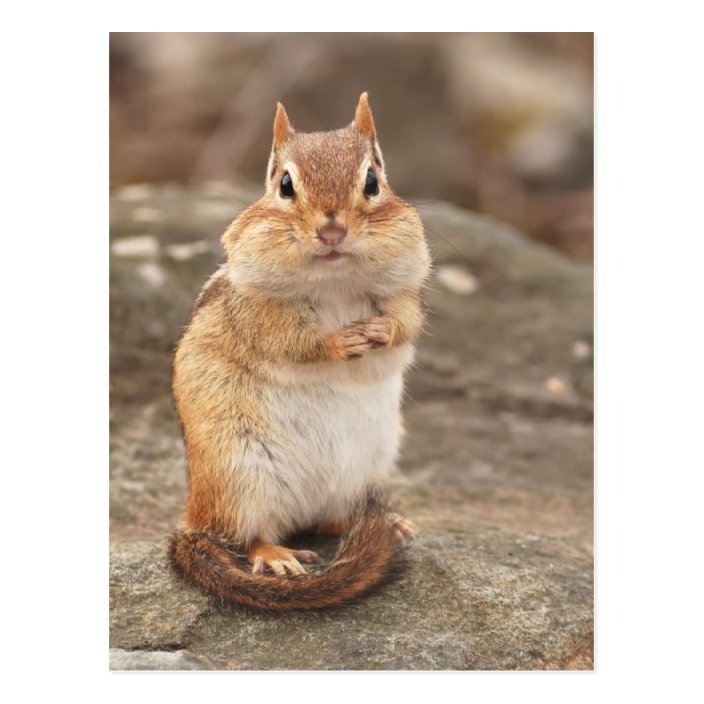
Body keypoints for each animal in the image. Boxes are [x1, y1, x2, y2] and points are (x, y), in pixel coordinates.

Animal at [169, 93, 430, 611]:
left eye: (372, 182)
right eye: (285, 186)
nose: (331, 231)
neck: (335, 281)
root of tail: (194, 519)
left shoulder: (406, 291)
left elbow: (407, 322)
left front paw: (381, 331)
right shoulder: (257, 313)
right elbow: (290, 341)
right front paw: (339, 342)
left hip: (363, 470)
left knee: (331, 519)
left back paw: (386, 523)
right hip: (240, 475)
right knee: (249, 536)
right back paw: (276, 556)